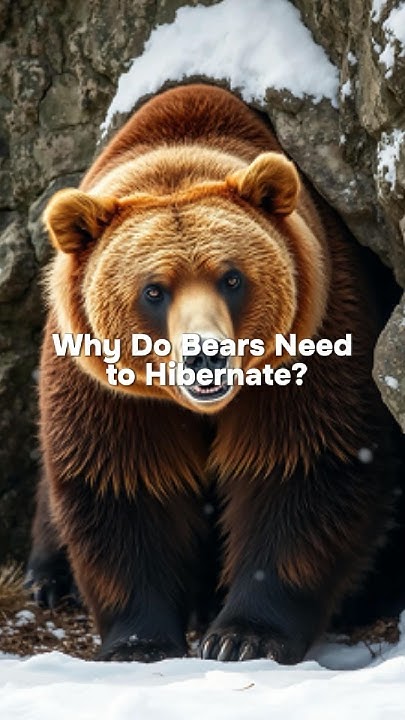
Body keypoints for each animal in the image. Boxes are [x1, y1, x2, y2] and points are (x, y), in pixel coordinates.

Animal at [26, 83, 400, 664]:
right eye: (153, 290)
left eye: (232, 278)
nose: (206, 354)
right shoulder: (109, 392)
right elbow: (122, 484)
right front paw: (139, 641)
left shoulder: (308, 354)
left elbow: (301, 469)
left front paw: (242, 636)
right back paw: (46, 579)